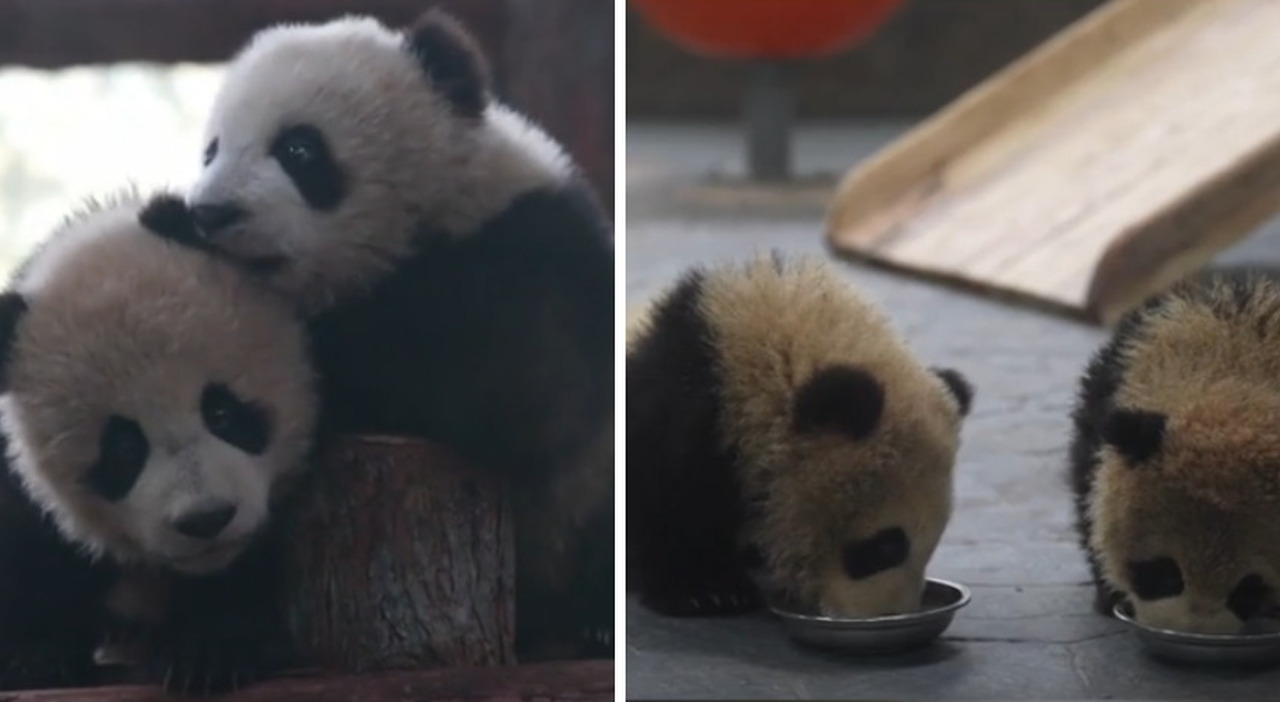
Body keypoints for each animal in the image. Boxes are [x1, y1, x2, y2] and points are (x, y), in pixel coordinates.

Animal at [0, 191, 318, 694]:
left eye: (221, 411)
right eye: (124, 449)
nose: (207, 519)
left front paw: (212, 650)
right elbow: (28, 548)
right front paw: (32, 654)